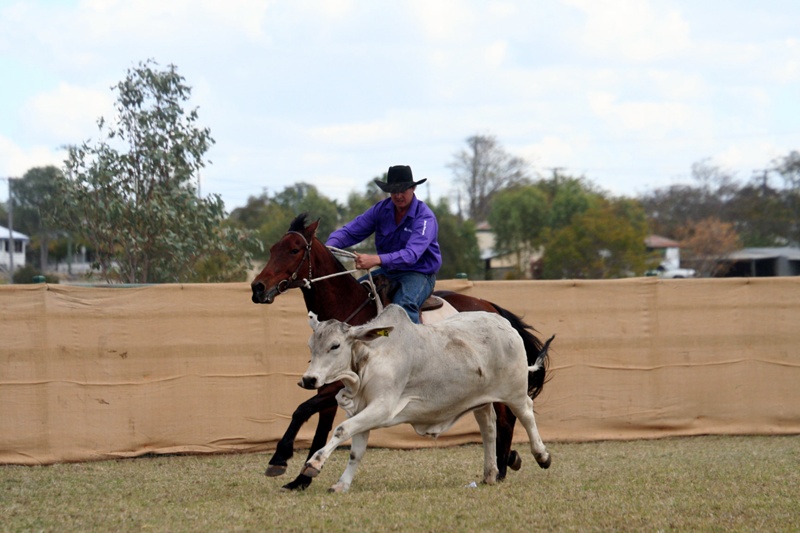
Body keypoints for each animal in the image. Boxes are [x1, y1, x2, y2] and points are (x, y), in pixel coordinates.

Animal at [250, 213, 549, 491]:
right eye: (272, 249)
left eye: (294, 250)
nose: (258, 287)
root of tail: (492, 307)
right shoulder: (330, 384)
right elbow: (319, 424)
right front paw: (300, 478)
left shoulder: (337, 387)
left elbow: (302, 410)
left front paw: (279, 459)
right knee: (492, 420)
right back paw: (503, 463)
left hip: (506, 386)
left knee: (509, 417)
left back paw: (507, 465)